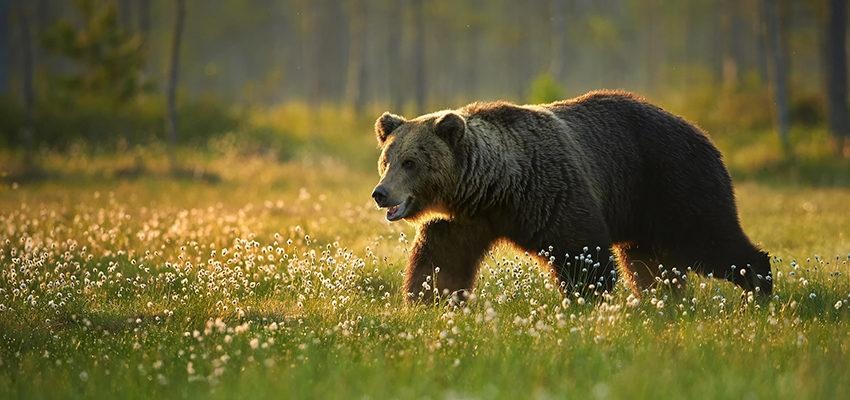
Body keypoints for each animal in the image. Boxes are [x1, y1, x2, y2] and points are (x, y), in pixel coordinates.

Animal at [371, 90, 772, 303]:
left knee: (710, 238)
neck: (494, 188)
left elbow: (580, 251)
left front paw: (585, 300)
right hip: (644, 212)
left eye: (410, 162)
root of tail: (703, 133)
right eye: (387, 160)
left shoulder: (550, 191)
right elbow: (441, 261)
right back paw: (660, 301)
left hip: (674, 183)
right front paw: (429, 299)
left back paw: (757, 290)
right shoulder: (462, 220)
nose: (381, 193)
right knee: (648, 263)